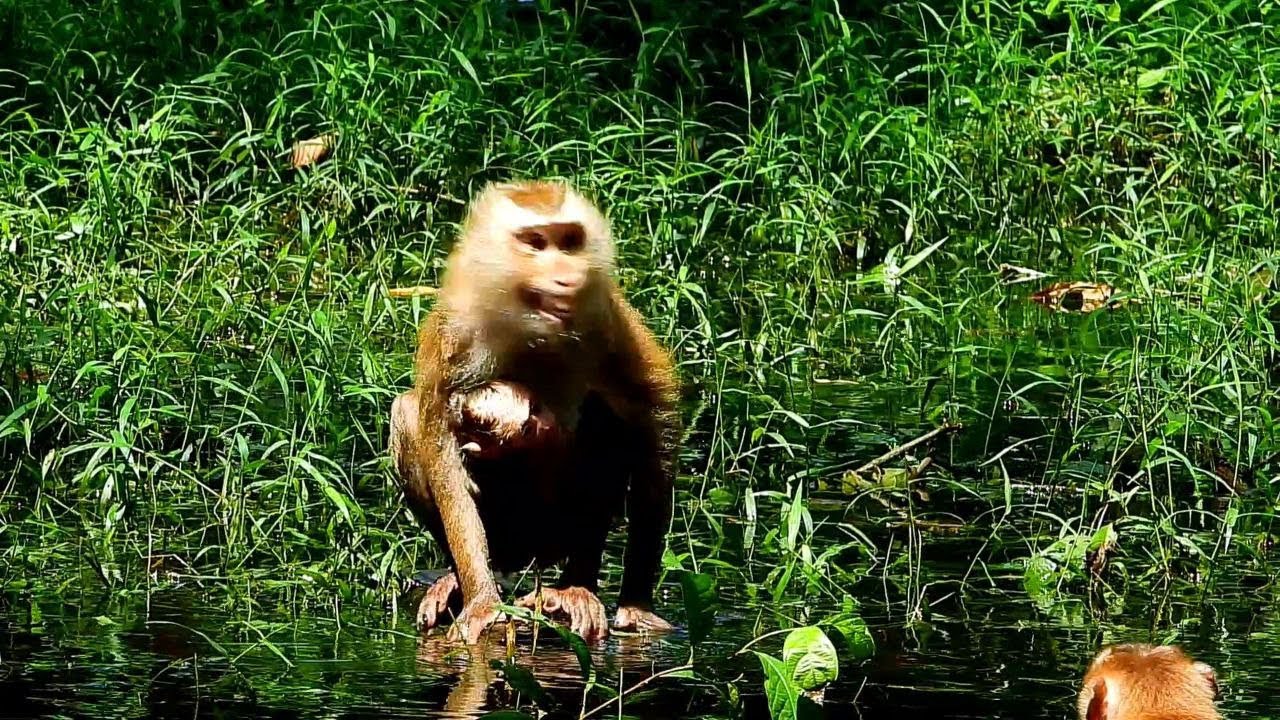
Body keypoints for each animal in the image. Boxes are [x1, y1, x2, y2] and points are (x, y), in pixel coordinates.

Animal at [389, 179, 679, 645]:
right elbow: (440, 445)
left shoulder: (607, 316)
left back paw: (575, 587)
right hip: (511, 542)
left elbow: (655, 415)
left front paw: (636, 602)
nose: (567, 276)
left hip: (553, 539)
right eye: (535, 242)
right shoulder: (452, 333)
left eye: (570, 240)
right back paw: (458, 578)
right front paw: (481, 600)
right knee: (405, 414)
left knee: (608, 418)